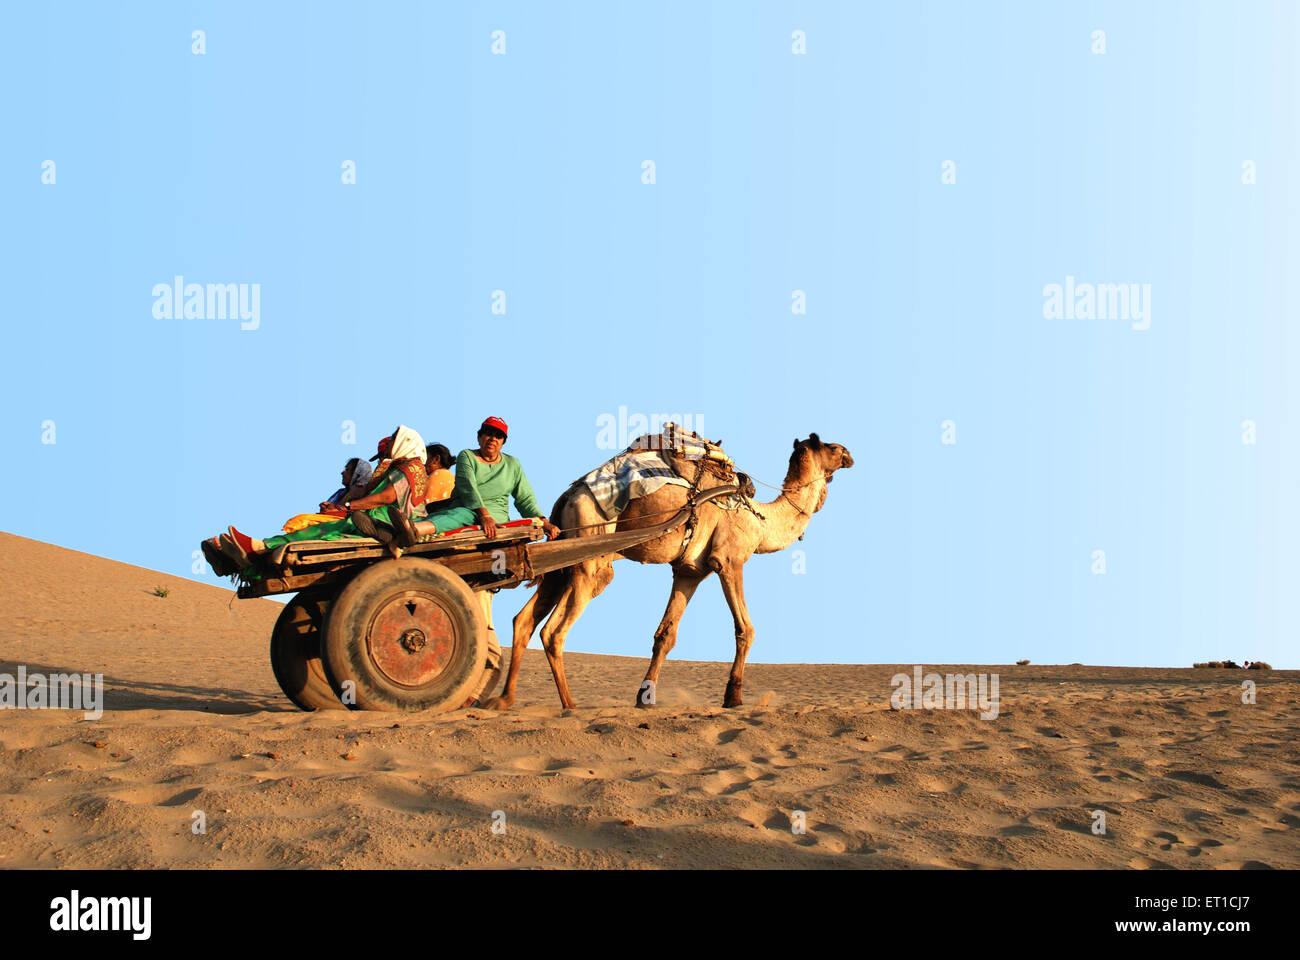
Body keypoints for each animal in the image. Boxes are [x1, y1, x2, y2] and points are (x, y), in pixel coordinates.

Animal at [483, 433, 853, 711]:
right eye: (833, 448)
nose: (851, 455)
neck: (760, 520)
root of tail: (565, 498)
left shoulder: (689, 571)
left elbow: (666, 634)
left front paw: (644, 698)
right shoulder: (729, 561)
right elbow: (745, 629)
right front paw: (733, 697)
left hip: (563, 562)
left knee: (525, 620)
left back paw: (504, 699)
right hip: (591, 559)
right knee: (554, 631)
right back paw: (569, 705)